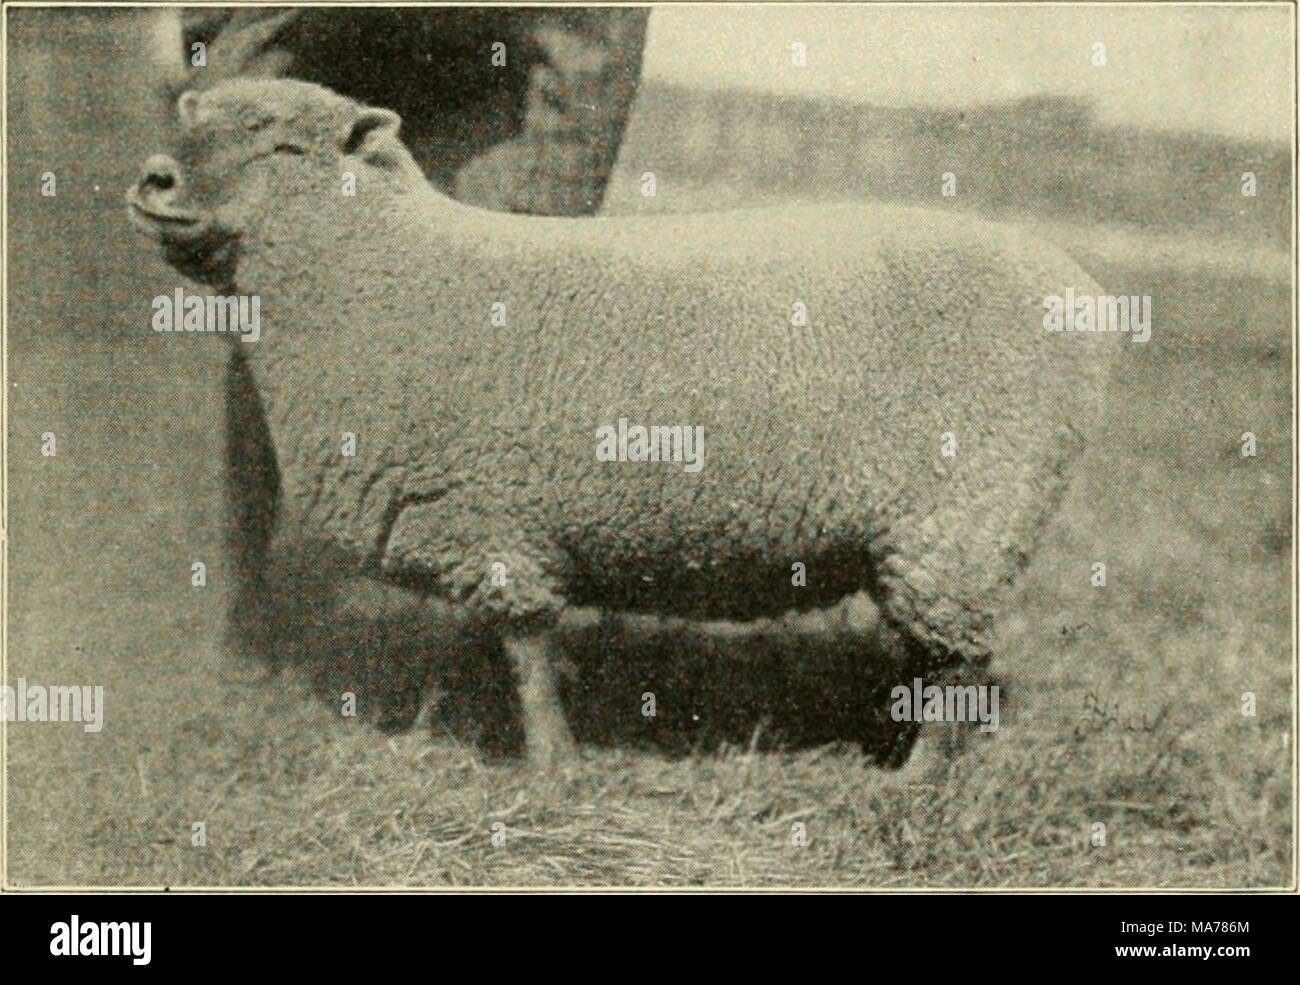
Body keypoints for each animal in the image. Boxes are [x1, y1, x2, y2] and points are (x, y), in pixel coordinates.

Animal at [128, 79, 1115, 767]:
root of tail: (1082, 289)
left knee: (960, 666)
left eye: (278, 139)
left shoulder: (498, 520)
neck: (389, 273)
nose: (153, 178)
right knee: (939, 660)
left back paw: (917, 785)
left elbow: (528, 653)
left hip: (966, 517)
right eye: (194, 113)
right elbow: (509, 651)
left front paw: (554, 772)